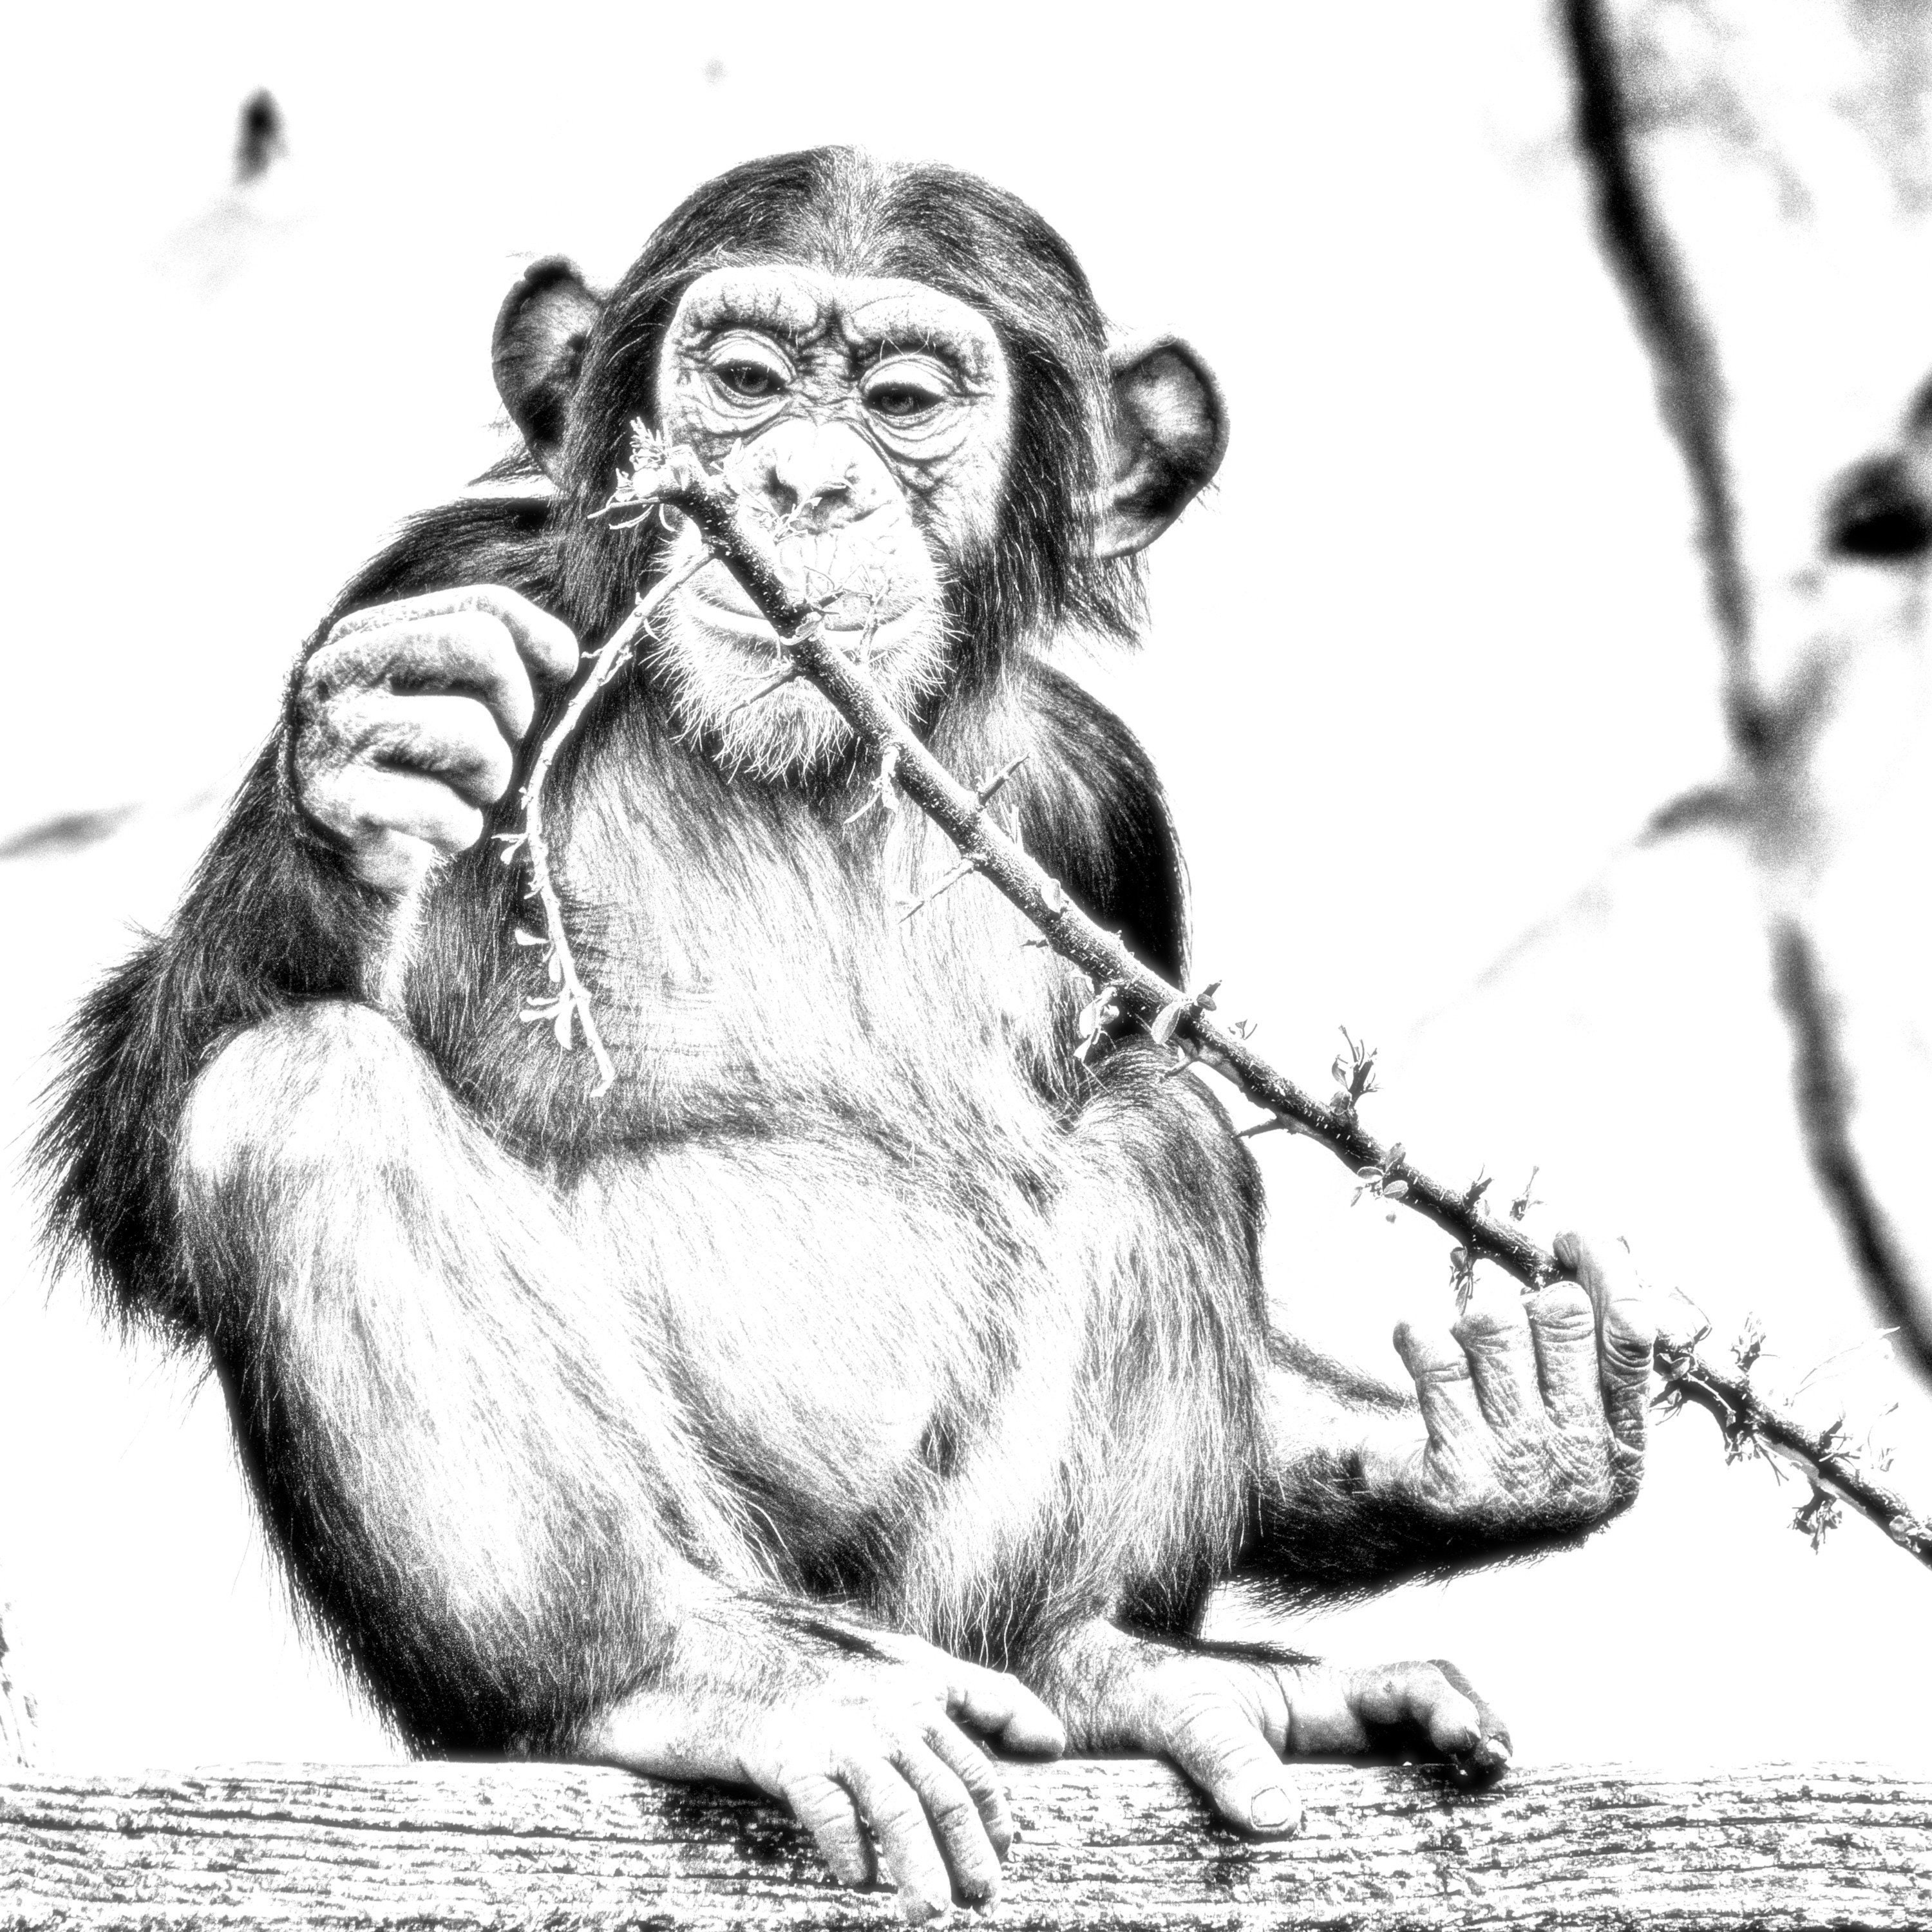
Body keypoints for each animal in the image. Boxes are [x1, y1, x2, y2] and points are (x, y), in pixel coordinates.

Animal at [39, 149, 1655, 1919]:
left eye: (900, 403)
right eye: (743, 381)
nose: (805, 481)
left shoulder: (1105, 815)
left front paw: (1502, 1433)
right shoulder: (434, 576)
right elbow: (145, 1132)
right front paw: (368, 754)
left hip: (941, 1621)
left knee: (1160, 1120)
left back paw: (1124, 1659)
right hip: (707, 1603)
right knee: (300, 1090)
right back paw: (686, 1673)